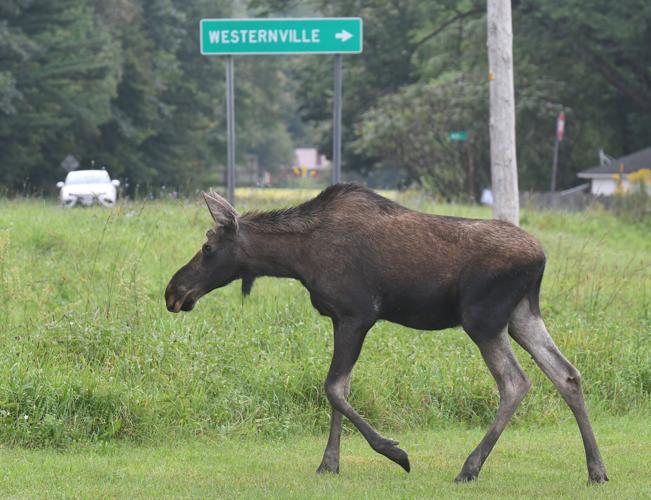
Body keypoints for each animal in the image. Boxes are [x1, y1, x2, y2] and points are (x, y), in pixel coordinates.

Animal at [165, 184, 608, 483]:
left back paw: (469, 467)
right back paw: (596, 468)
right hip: (521, 314)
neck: (295, 261)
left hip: (483, 319)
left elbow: (333, 388)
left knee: (516, 382)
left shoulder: (357, 314)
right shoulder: (339, 319)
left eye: (208, 248)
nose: (173, 292)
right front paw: (329, 464)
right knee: (567, 374)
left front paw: (395, 452)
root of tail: (542, 258)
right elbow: (339, 390)